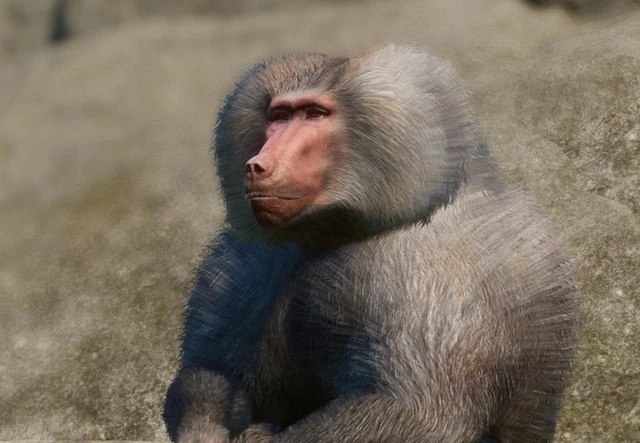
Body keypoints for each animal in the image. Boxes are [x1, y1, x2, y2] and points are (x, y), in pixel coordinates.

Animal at [163, 45, 577, 442]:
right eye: (279, 116)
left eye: (314, 114)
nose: (257, 165)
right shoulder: (243, 260)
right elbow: (211, 372)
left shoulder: (424, 270)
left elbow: (418, 415)